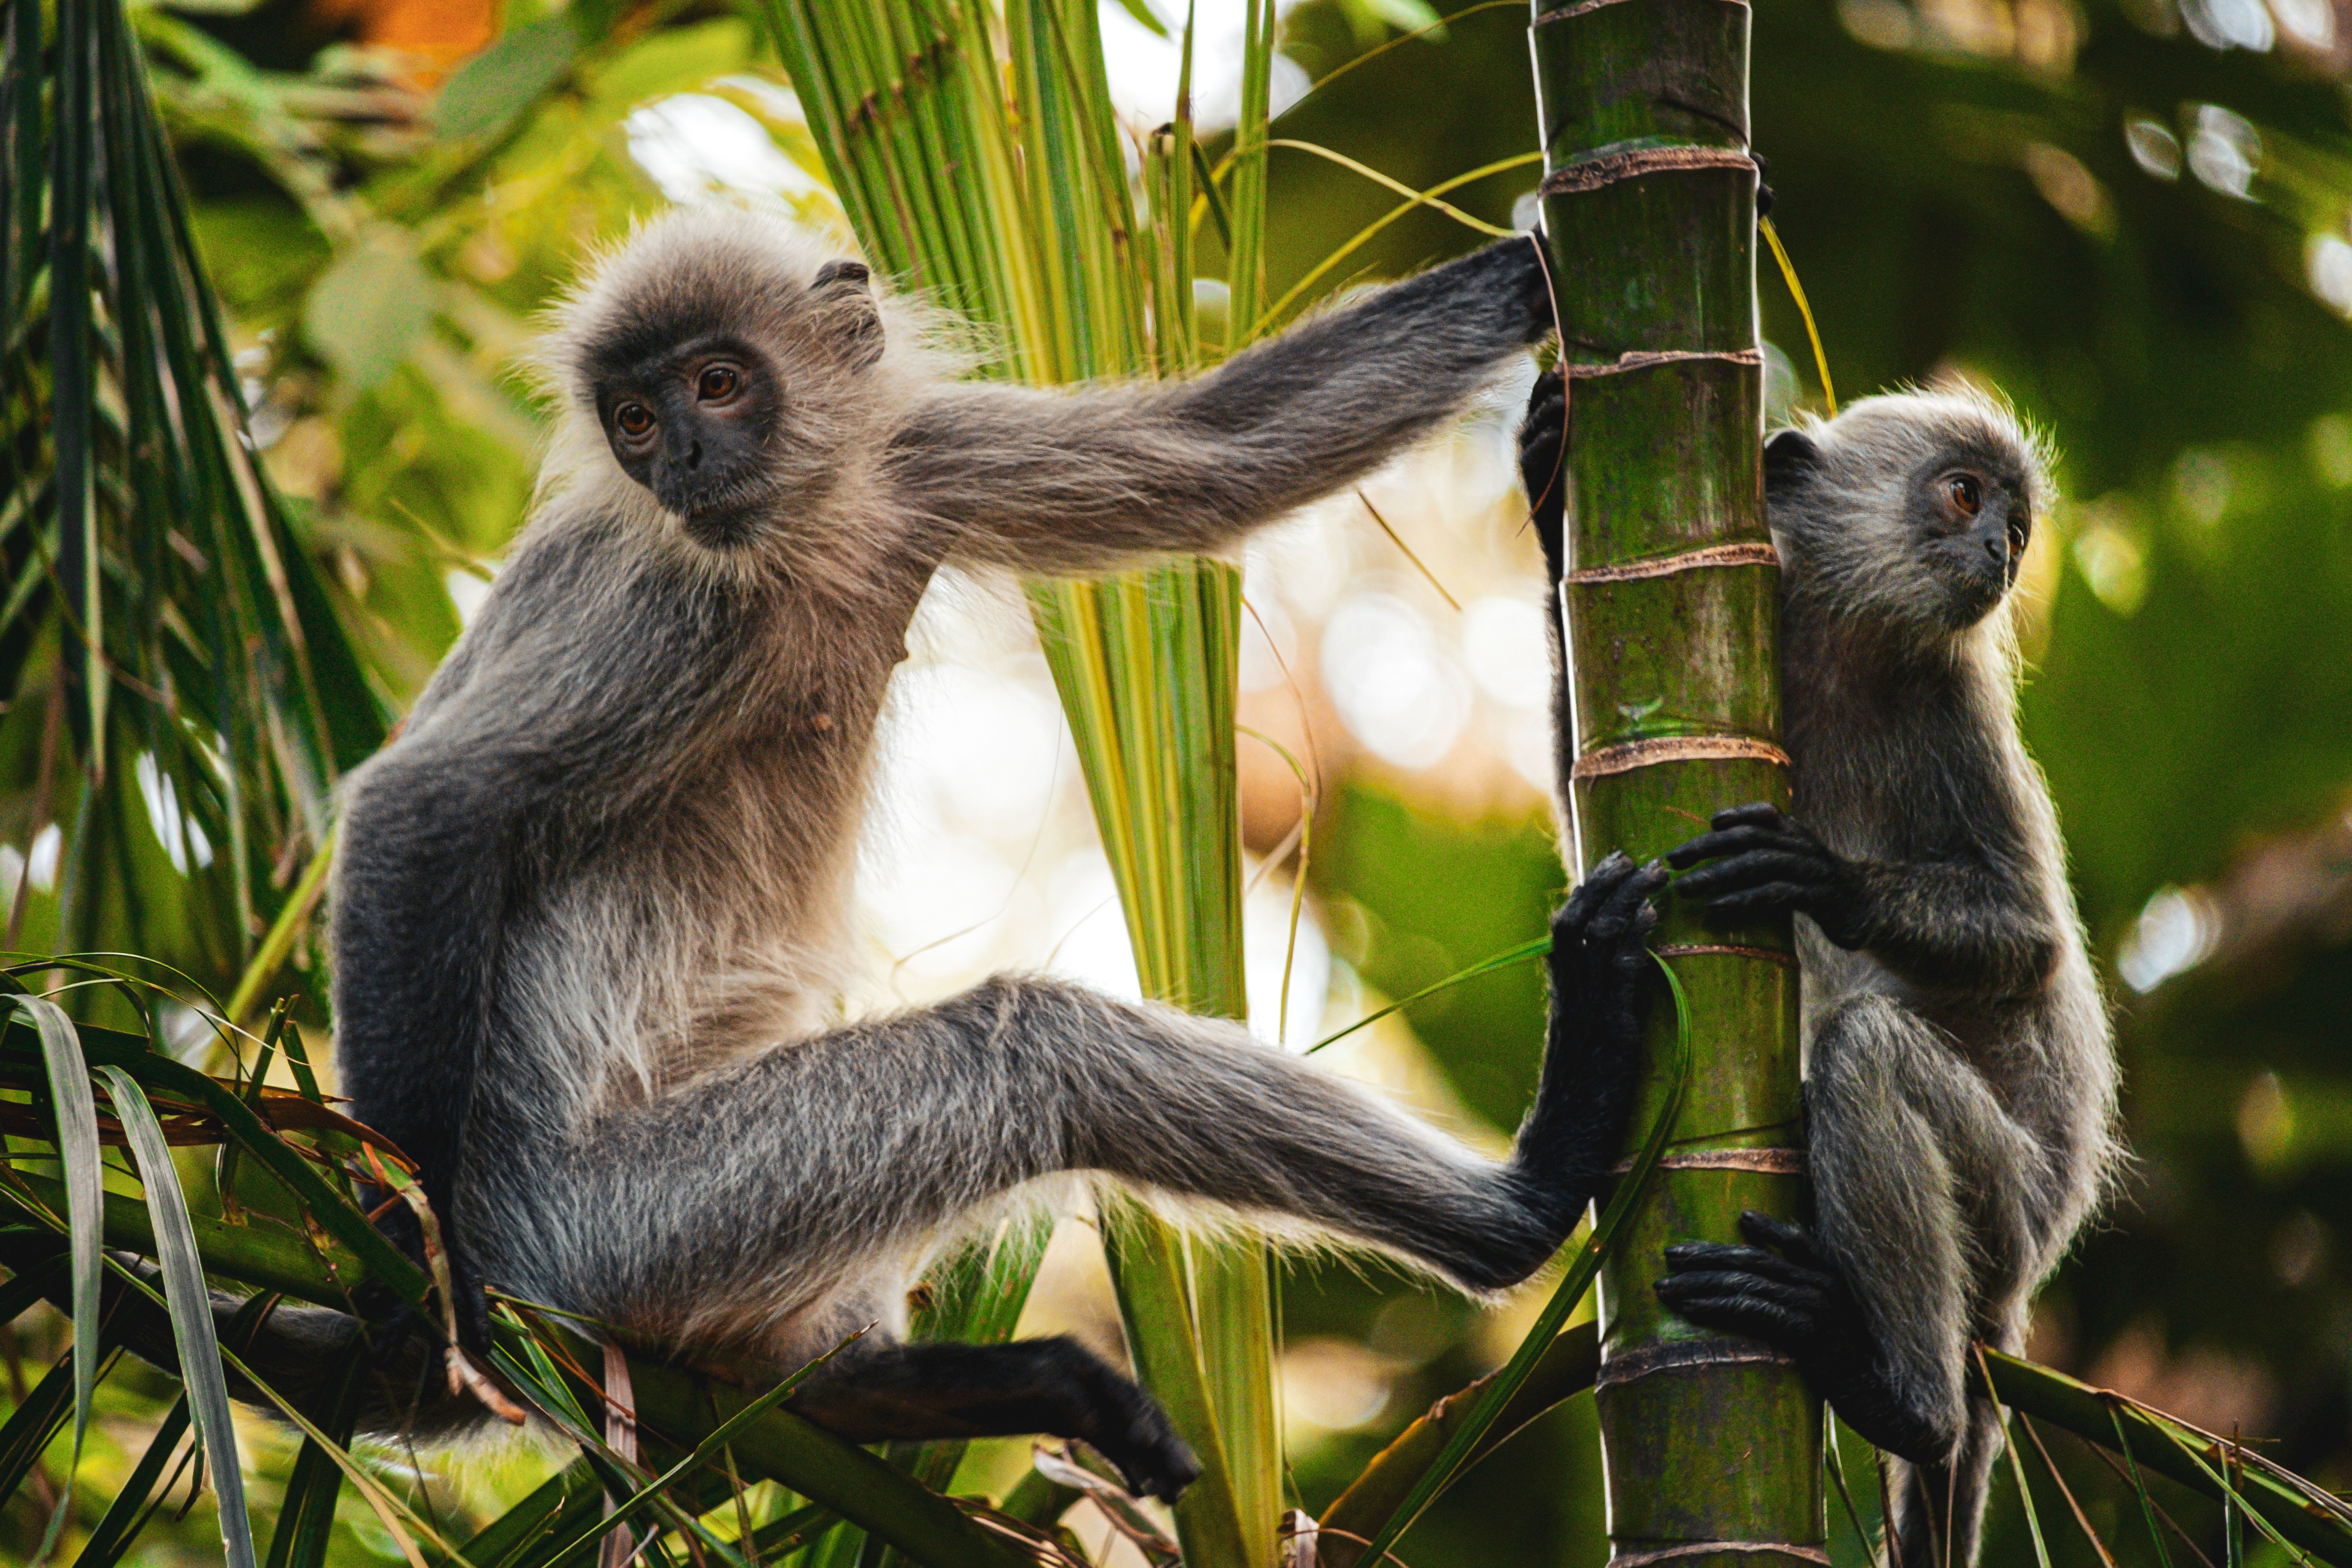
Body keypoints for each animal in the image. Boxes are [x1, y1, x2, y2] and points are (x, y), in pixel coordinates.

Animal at [32, 206, 1673, 1500]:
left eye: (717, 385)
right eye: (637, 419)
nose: (687, 452)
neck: (789, 544)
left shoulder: (915, 460)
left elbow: (1226, 451)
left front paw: (1544, 269)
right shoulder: (662, 589)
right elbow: (431, 801)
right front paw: (417, 1272)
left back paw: (876, 1392)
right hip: (630, 1222)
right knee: (1036, 1048)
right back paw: (1528, 1201)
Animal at [1520, 379, 2119, 1566]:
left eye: (2017, 527)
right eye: (1964, 496)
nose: (2001, 551)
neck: (1847, 650)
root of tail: (2014, 1296)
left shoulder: (1955, 707)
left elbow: (2033, 941)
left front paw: (1827, 882)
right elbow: (1595, 820)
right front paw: (1547, 486)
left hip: (2004, 1208)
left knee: (1863, 1053)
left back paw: (1901, 1397)